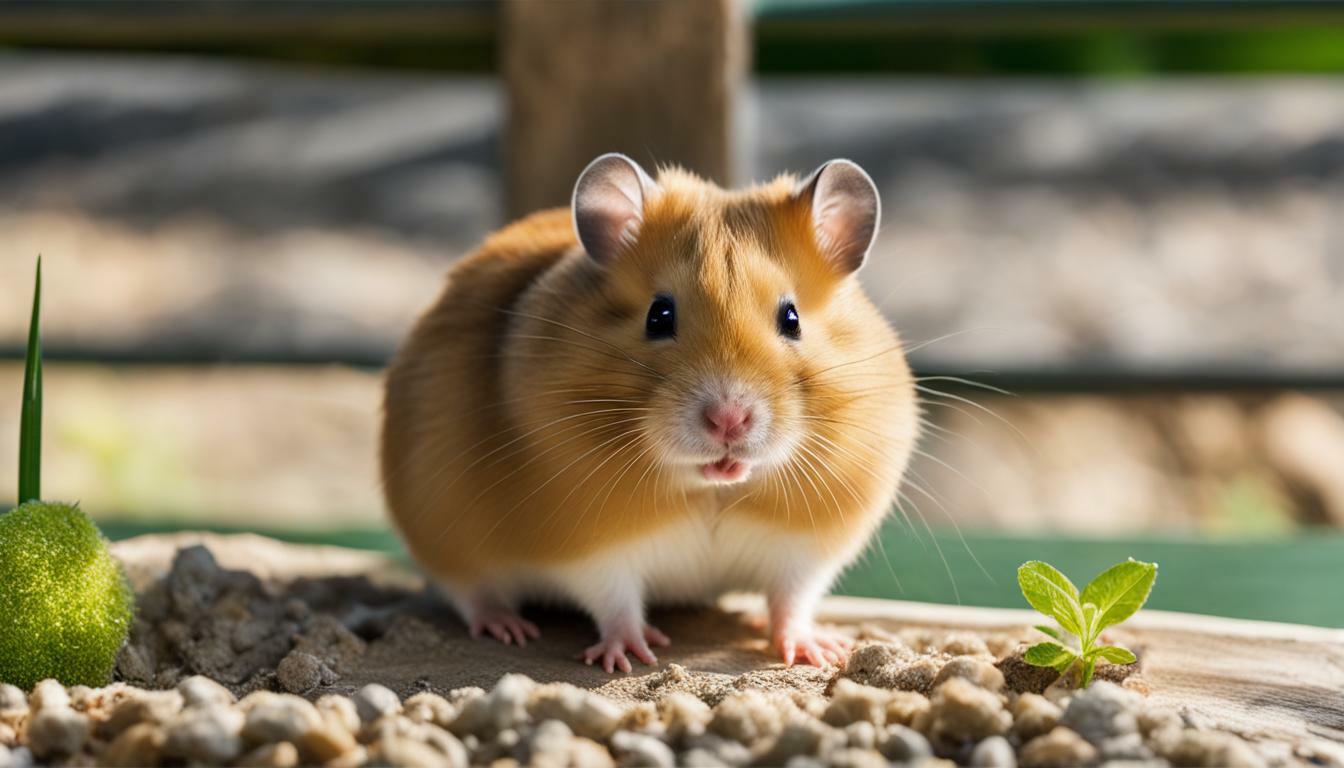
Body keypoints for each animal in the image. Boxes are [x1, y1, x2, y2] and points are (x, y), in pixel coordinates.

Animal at [381, 154, 918, 672]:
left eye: (792, 318)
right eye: (658, 316)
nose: (729, 420)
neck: (710, 490)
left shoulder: (807, 547)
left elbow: (792, 599)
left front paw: (819, 651)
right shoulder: (588, 544)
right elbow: (613, 599)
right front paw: (628, 657)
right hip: (440, 532)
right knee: (469, 592)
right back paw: (509, 628)